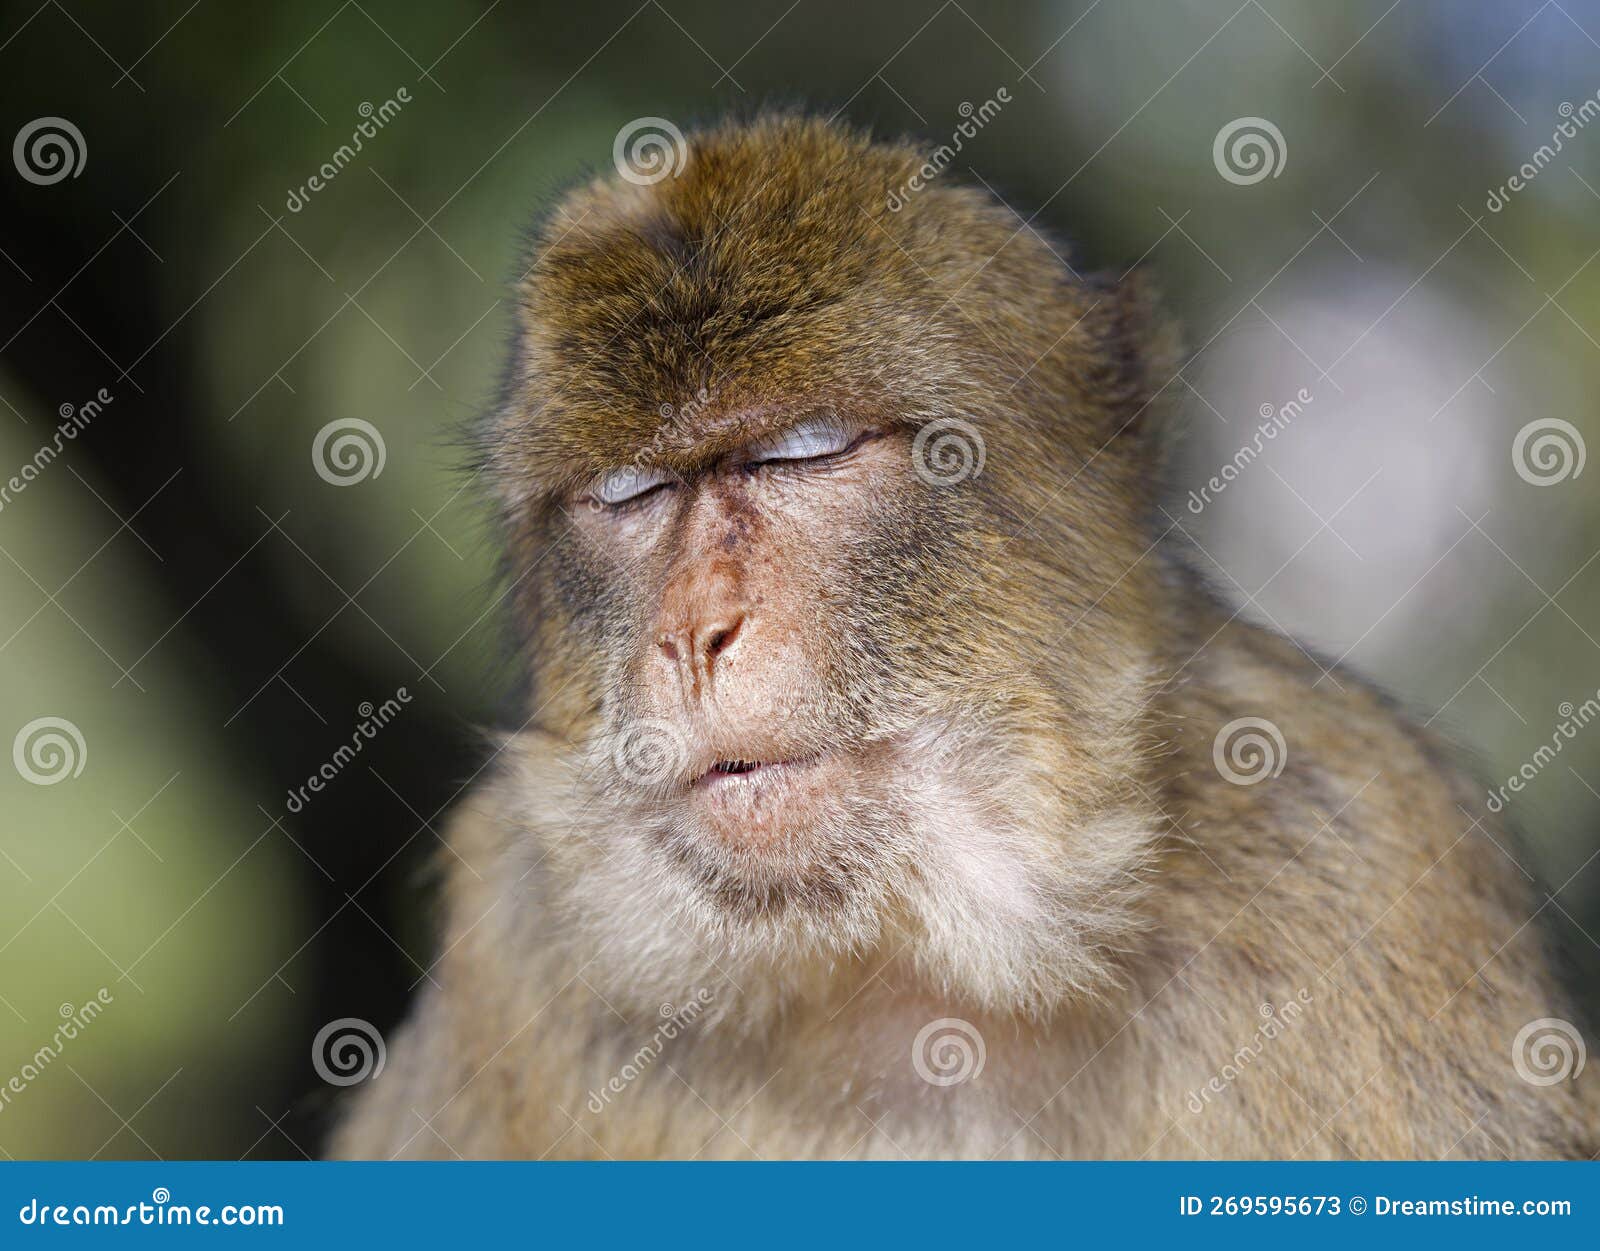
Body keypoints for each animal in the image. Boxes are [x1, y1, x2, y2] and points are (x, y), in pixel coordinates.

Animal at [329, 114, 1597, 1160]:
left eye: (802, 451)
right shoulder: (509, 932)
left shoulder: (1370, 850)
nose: (692, 635)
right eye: (631, 493)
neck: (905, 969)